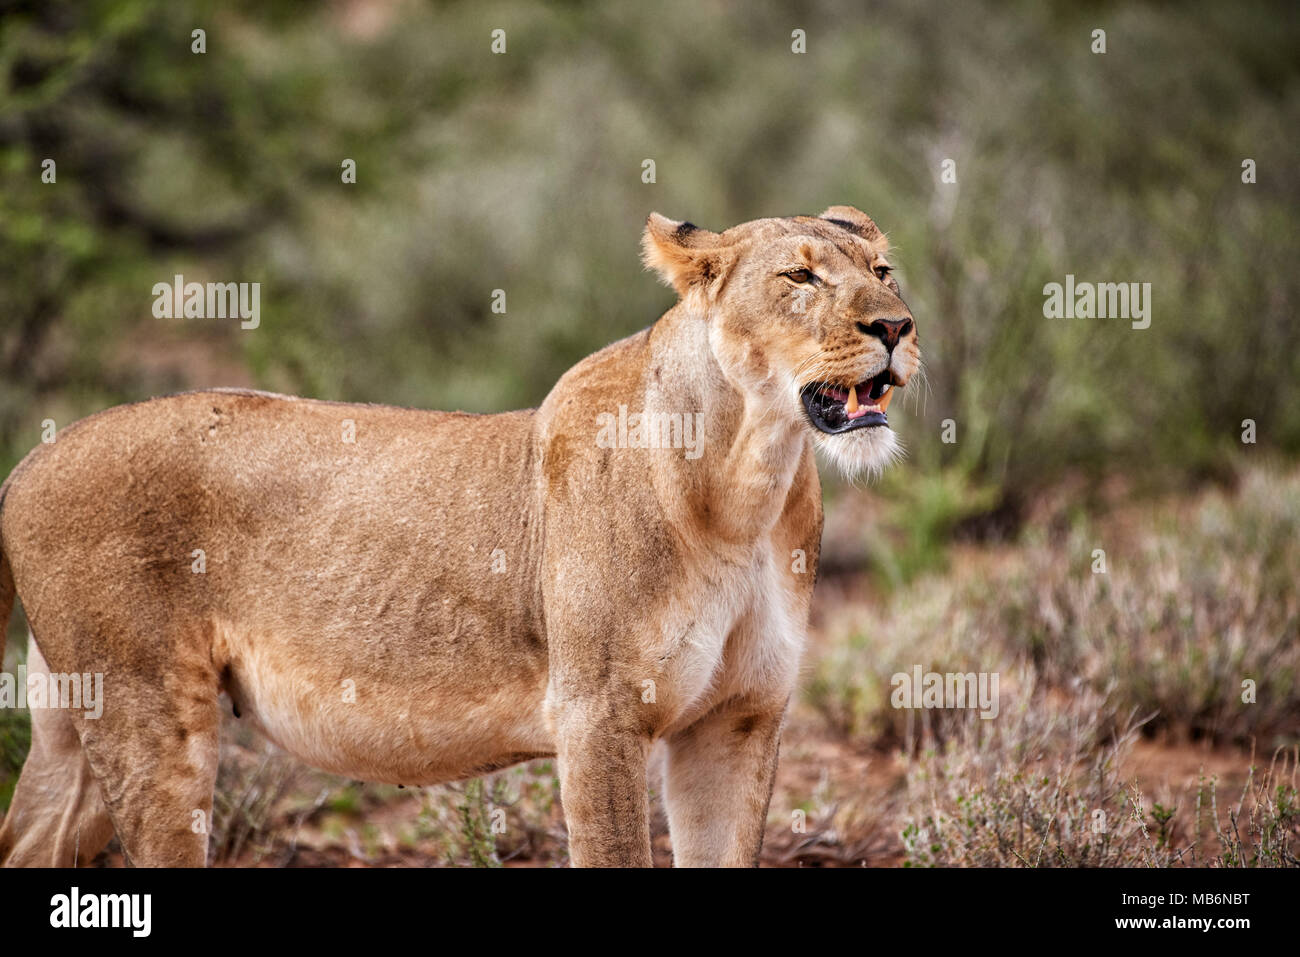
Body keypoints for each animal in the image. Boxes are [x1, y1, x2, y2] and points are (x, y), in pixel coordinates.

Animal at [0, 206, 919, 867]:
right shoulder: (597, 715)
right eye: (799, 275)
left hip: (73, 726)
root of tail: (28, 460)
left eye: (882, 273)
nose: (898, 328)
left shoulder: (738, 718)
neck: (747, 483)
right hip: (150, 721)